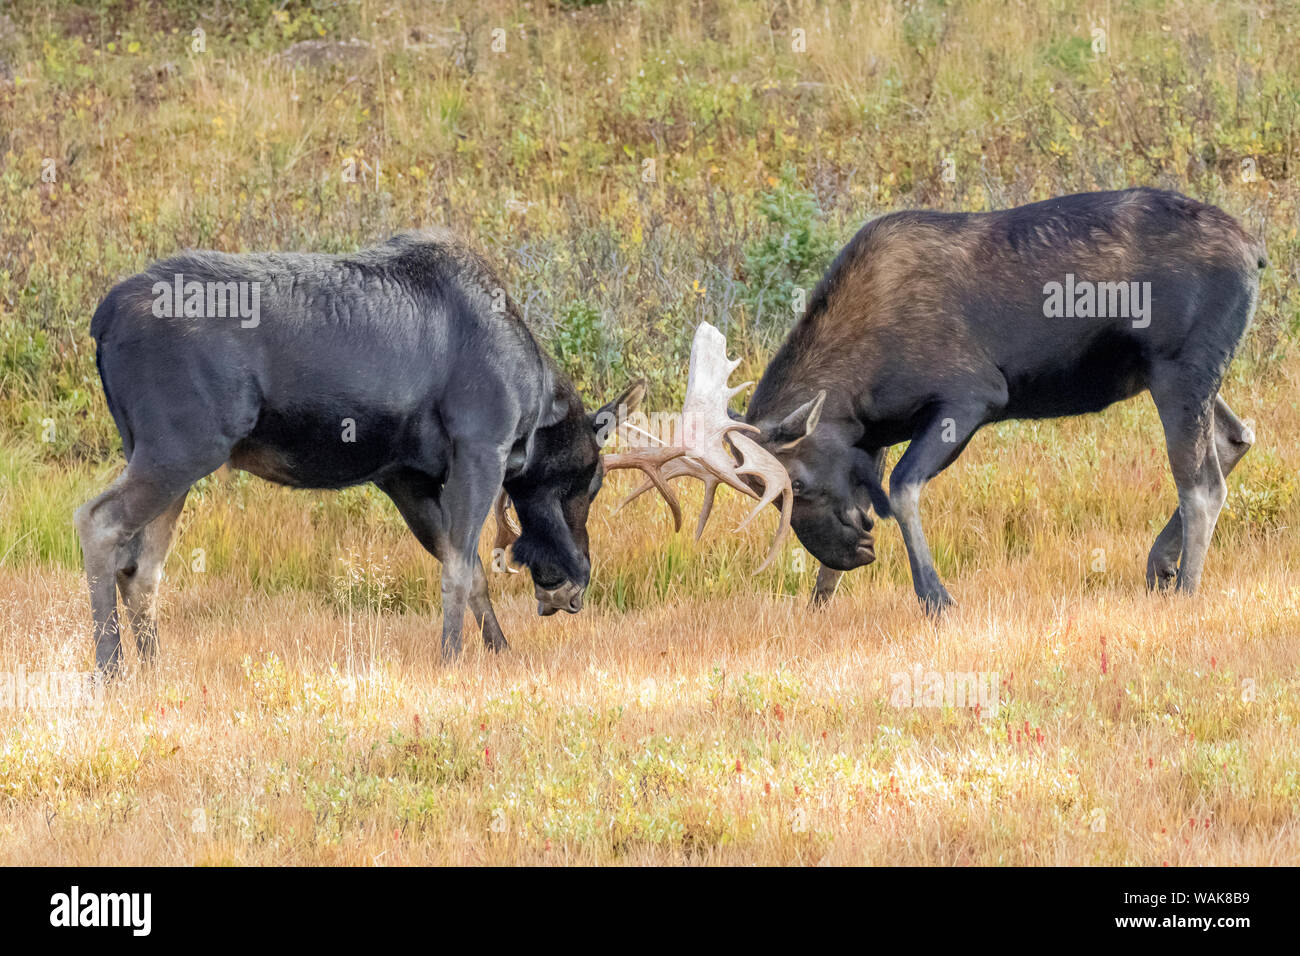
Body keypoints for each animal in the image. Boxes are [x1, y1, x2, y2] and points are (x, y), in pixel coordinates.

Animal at [75, 230, 655, 673]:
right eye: (592, 478)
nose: (569, 587)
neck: (535, 410)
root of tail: (101, 321)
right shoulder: (480, 446)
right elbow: (460, 566)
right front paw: (451, 659)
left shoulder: (404, 475)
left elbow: (467, 569)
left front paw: (499, 652)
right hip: (182, 444)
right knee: (98, 521)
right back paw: (110, 669)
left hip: (161, 453)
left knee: (143, 567)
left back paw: (154, 669)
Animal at [732, 188, 1264, 612]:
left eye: (797, 484)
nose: (852, 552)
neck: (854, 387)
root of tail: (1255, 249)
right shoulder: (874, 434)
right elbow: (872, 493)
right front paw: (819, 604)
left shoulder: (972, 395)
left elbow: (902, 488)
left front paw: (936, 598)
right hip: (1170, 374)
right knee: (1235, 437)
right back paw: (1161, 564)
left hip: (1181, 368)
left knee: (1202, 485)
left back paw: (1186, 589)